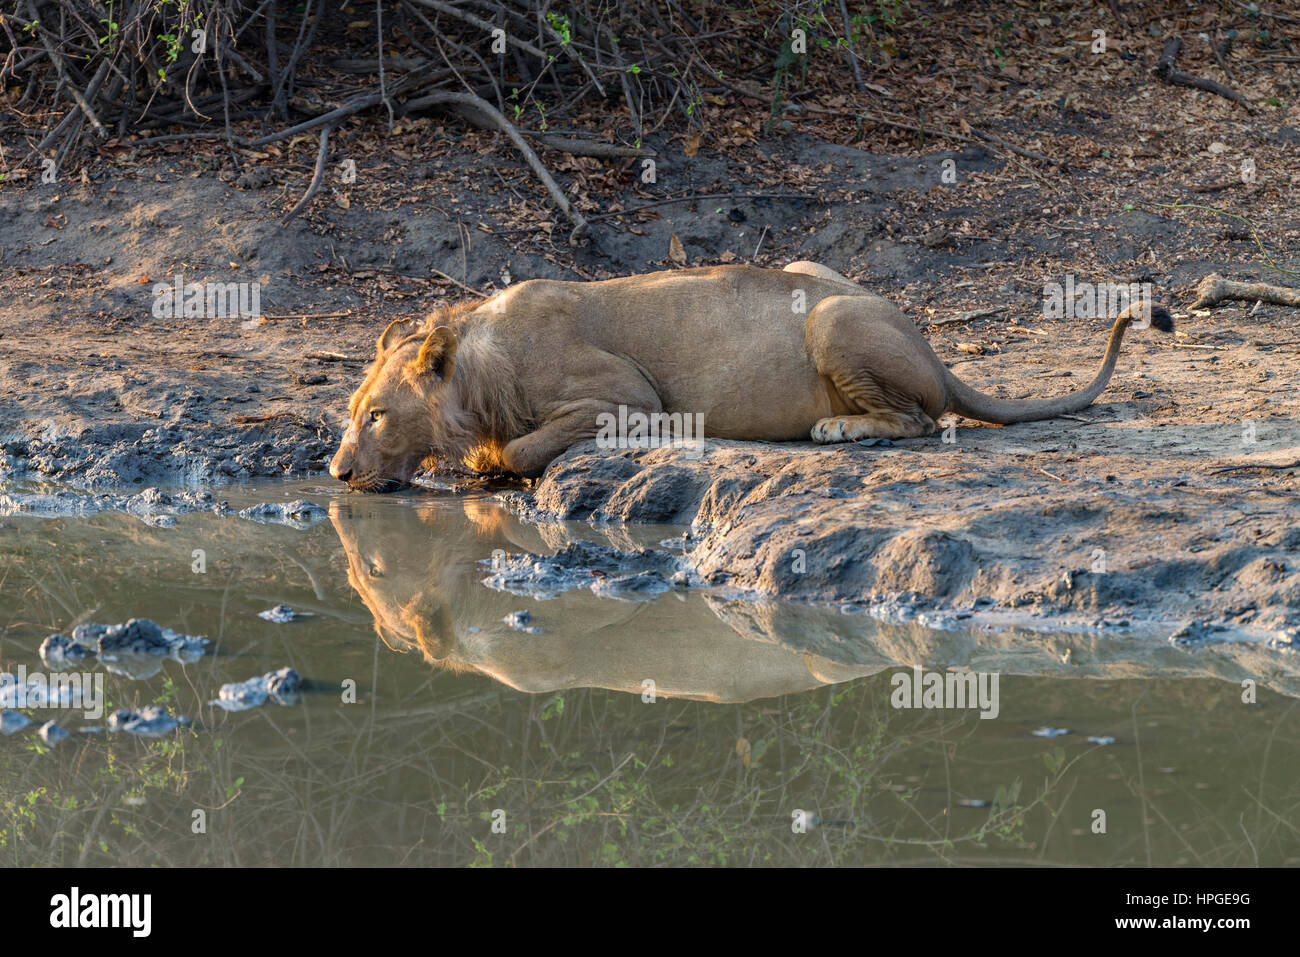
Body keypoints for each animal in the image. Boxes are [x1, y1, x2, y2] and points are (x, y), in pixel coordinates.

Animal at [330, 261, 1172, 488]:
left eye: (376, 415)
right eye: (351, 411)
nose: (336, 472)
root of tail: (933, 346)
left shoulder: (629, 394)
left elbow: (520, 448)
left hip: (830, 319)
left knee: (924, 420)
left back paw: (841, 428)